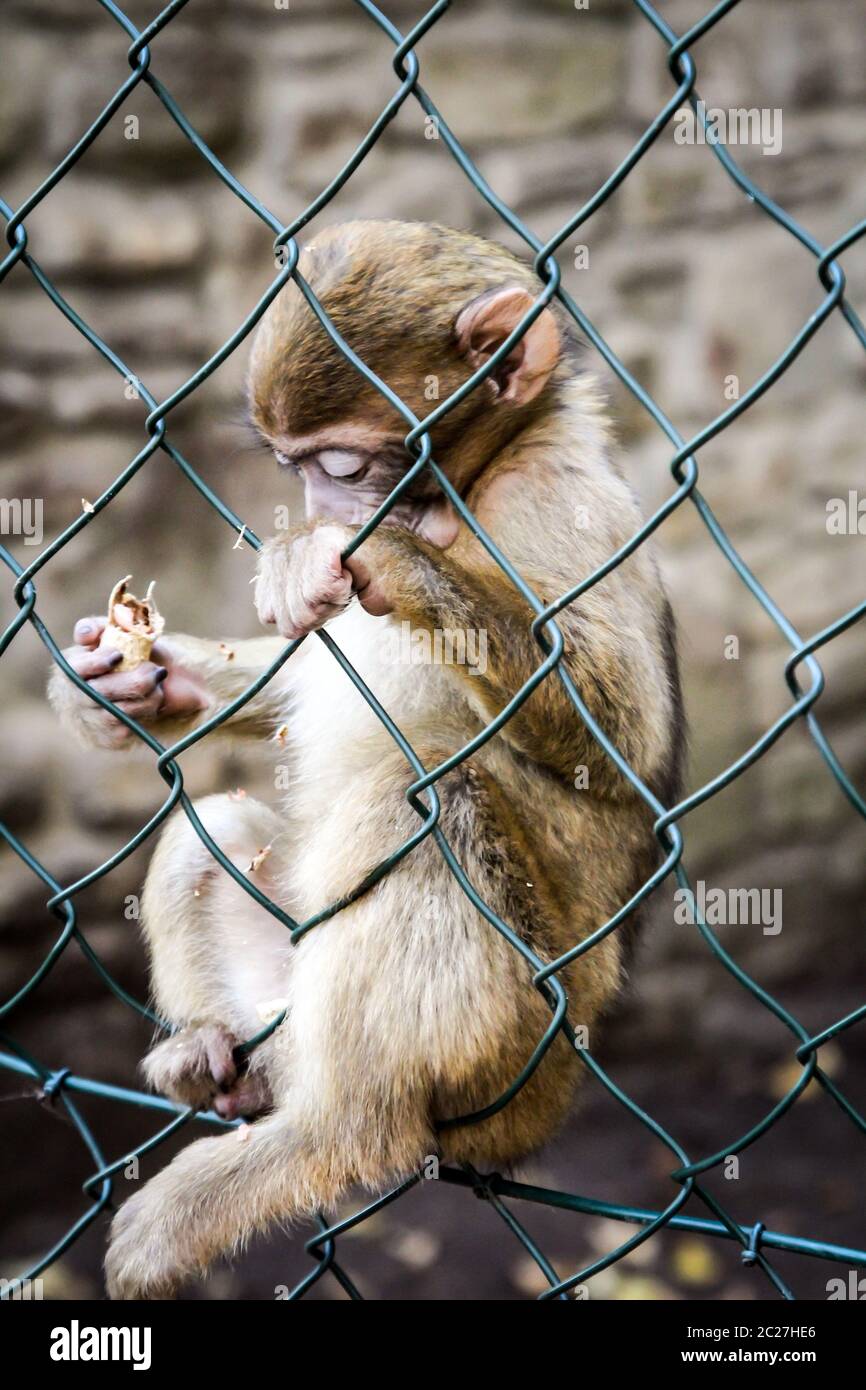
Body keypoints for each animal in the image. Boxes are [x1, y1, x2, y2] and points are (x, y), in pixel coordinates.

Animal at [49, 219, 683, 1300]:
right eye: (294, 464)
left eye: (342, 465)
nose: (317, 502)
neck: (463, 489)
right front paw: (127, 682)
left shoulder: (559, 501)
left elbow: (624, 744)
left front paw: (387, 556)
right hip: (285, 993)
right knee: (222, 826)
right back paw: (214, 1060)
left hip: (513, 1049)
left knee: (422, 806)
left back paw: (331, 1136)